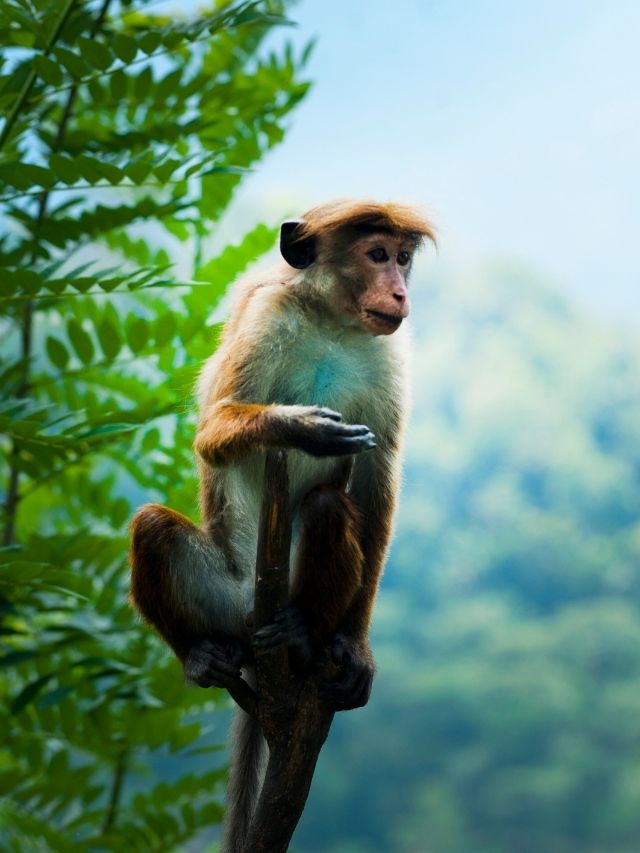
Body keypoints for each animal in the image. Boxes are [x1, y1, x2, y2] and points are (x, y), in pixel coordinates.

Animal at [129, 199, 436, 852]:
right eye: (377, 255)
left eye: (403, 258)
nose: (400, 292)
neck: (332, 324)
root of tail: (254, 625)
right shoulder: (264, 318)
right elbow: (213, 429)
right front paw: (299, 427)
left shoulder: (390, 355)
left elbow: (375, 485)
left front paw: (356, 647)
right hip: (223, 598)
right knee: (151, 526)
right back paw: (200, 656)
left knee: (327, 507)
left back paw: (304, 632)